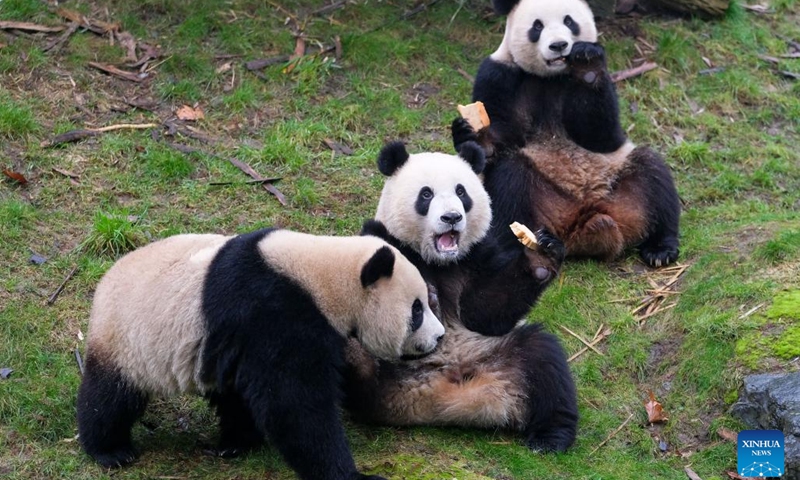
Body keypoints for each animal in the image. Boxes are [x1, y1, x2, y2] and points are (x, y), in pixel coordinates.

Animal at [76, 227, 444, 480]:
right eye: (416, 310)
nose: (439, 337)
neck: (323, 275)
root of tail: (103, 284)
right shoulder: (274, 312)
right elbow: (295, 404)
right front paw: (351, 475)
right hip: (126, 340)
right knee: (110, 397)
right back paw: (111, 451)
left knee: (231, 392)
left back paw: (236, 442)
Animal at [343, 141, 578, 453]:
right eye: (426, 194)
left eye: (461, 192)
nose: (452, 217)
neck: (439, 261)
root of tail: (440, 399)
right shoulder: (384, 246)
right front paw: (428, 299)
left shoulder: (477, 257)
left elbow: (485, 312)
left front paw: (541, 256)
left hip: (496, 353)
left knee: (543, 359)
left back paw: (550, 437)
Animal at [452, 0, 681, 267]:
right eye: (537, 26)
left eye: (569, 21)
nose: (559, 45)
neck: (552, 77)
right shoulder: (500, 73)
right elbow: (500, 136)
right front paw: (473, 133)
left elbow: (602, 136)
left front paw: (587, 64)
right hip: (543, 203)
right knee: (510, 179)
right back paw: (541, 249)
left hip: (622, 185)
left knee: (654, 175)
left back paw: (660, 249)